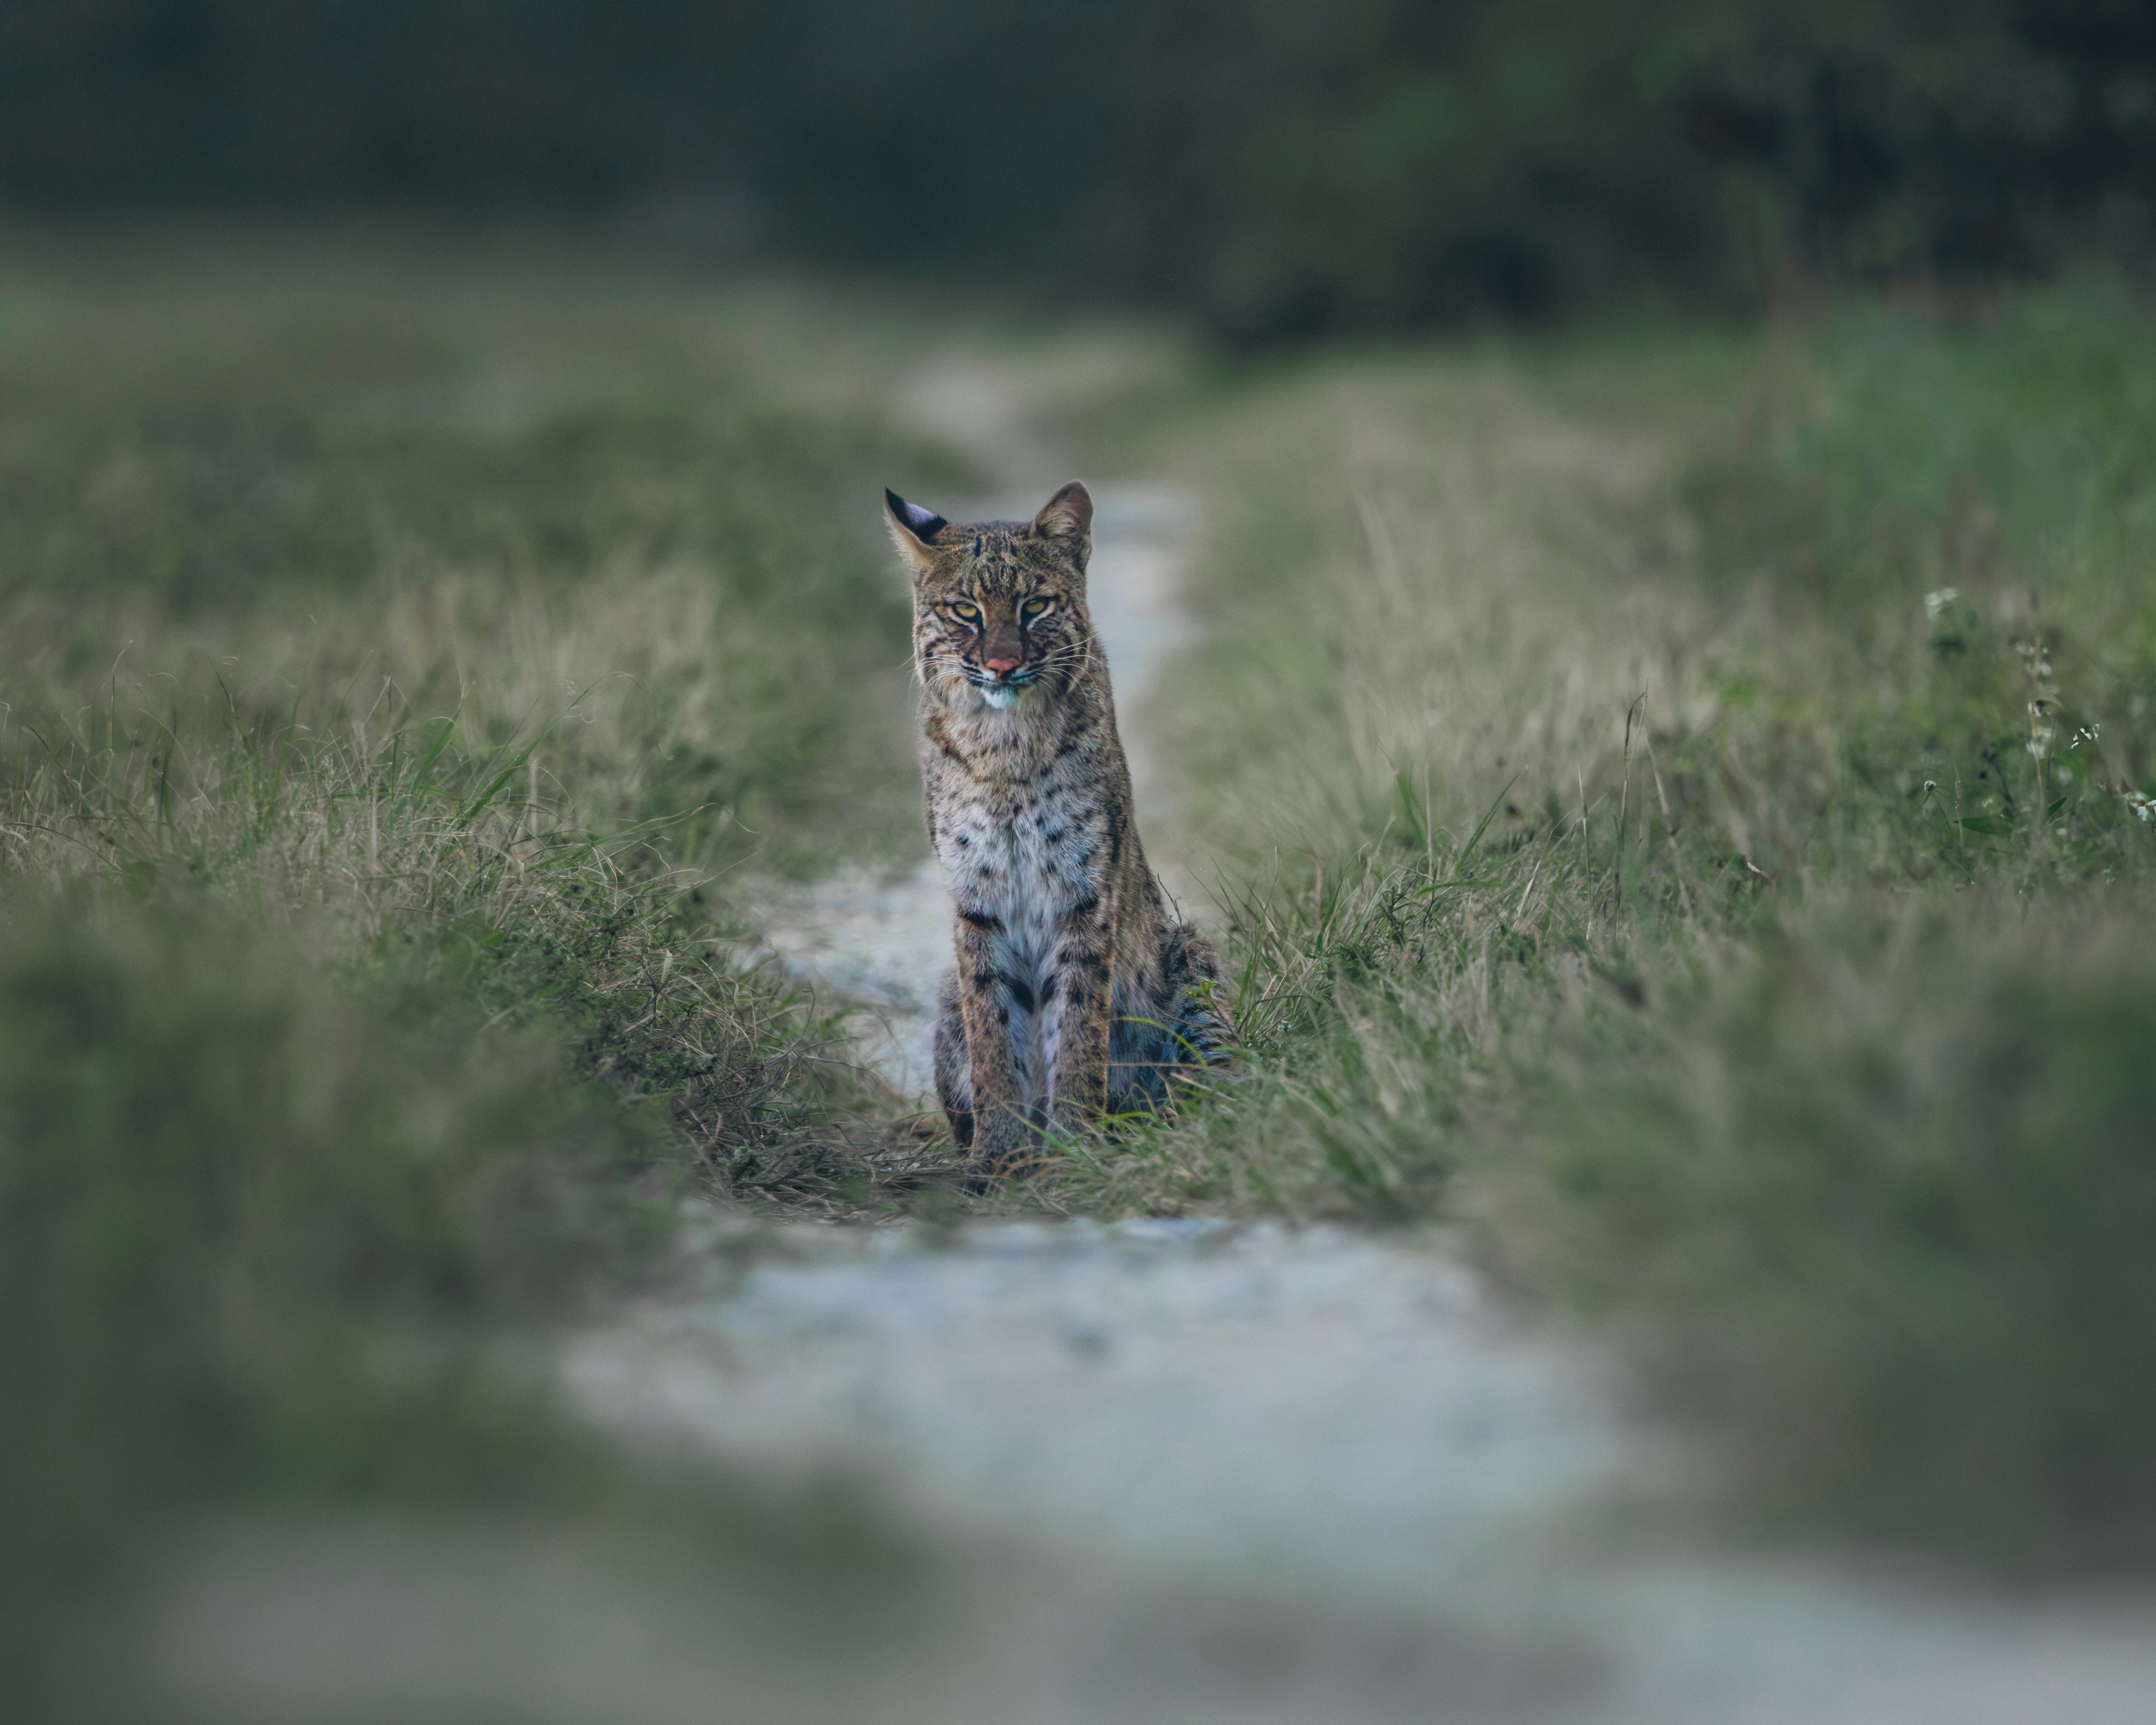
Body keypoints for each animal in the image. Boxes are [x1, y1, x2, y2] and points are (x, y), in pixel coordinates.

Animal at [885, 479, 1231, 1173]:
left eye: (1037, 605)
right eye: (965, 611)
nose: (1000, 667)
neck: (1003, 741)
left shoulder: (1083, 893)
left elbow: (1077, 1028)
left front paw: (1072, 1148)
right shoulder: (976, 901)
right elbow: (993, 1034)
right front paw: (998, 1159)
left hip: (1192, 952)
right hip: (945, 994)